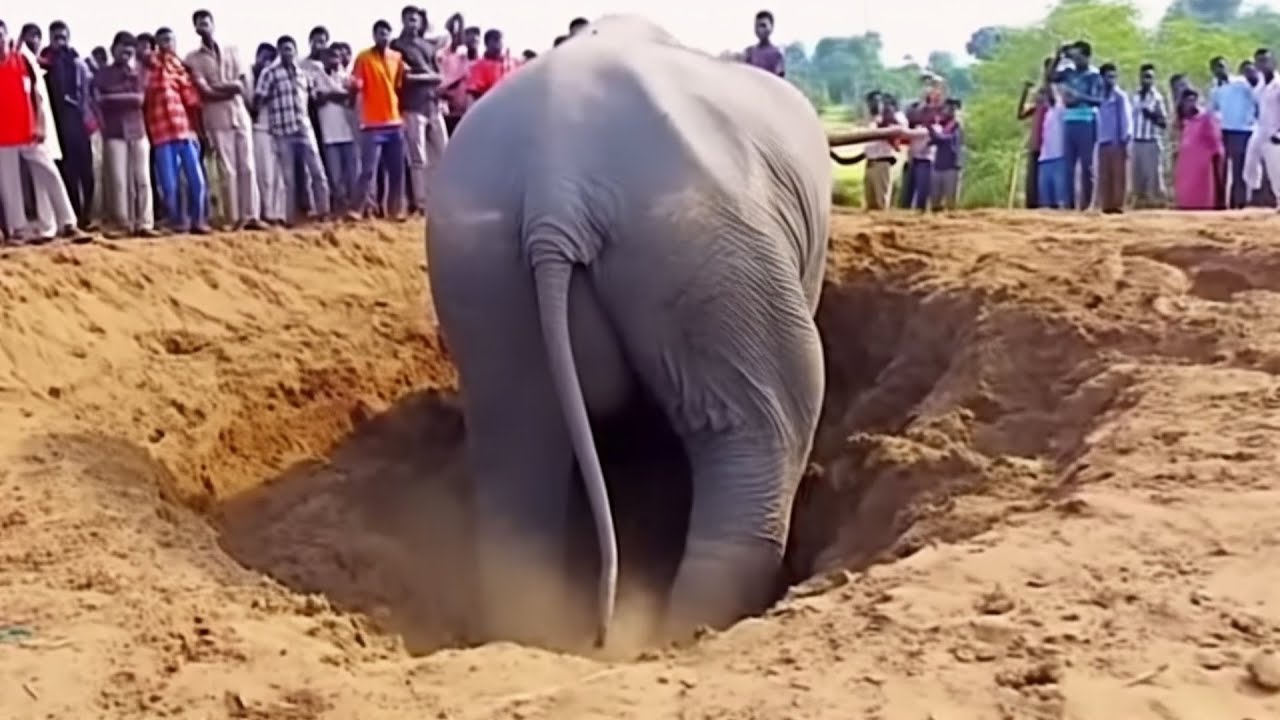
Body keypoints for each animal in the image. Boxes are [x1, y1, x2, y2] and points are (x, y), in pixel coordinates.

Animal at [425, 14, 831, 650]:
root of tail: (555, 193)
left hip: (479, 265)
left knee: (515, 439)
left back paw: (538, 628)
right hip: (708, 252)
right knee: (767, 421)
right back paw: (681, 634)